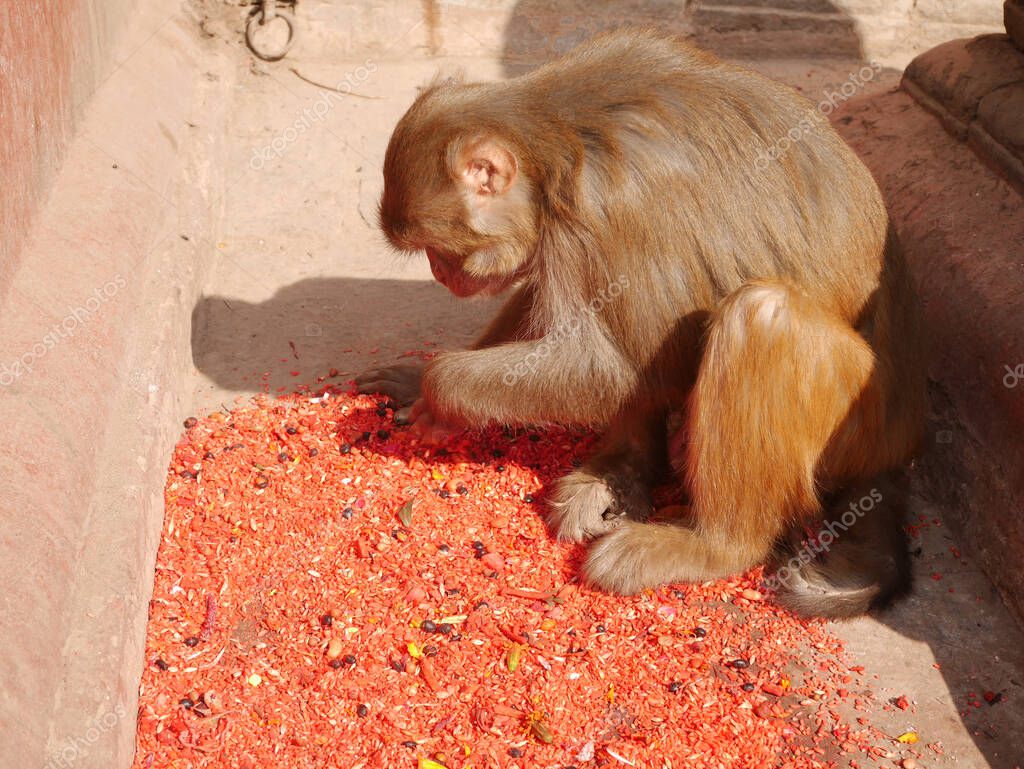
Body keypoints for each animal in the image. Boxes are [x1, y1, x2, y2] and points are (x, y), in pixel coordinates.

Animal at [355, 28, 925, 618]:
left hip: (853, 421)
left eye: (436, 249)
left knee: (758, 315)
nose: (439, 273)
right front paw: (415, 383)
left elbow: (623, 370)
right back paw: (621, 475)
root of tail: (898, 447)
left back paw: (711, 545)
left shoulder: (611, 206)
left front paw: (438, 394)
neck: (557, 145)